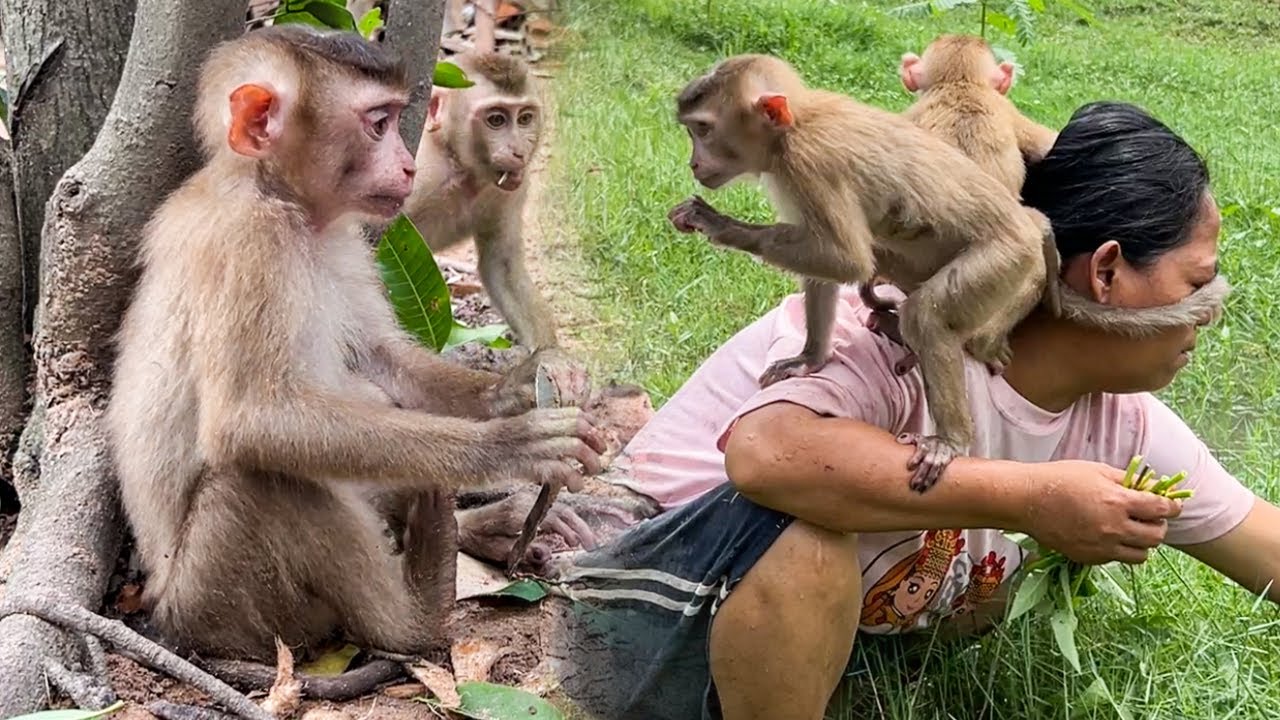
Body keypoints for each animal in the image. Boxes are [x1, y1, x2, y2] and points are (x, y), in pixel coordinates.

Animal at [402, 50, 558, 351]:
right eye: (496, 120)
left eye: (525, 118)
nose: (519, 151)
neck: (461, 167)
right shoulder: (419, 174)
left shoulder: (513, 189)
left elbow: (500, 263)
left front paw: (550, 355)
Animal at [666, 54, 1059, 492]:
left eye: (702, 129)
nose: (693, 162)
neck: (795, 125)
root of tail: (1028, 226)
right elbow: (826, 267)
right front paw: (810, 359)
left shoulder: (807, 165)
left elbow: (847, 259)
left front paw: (719, 225)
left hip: (1004, 256)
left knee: (926, 315)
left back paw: (950, 438)